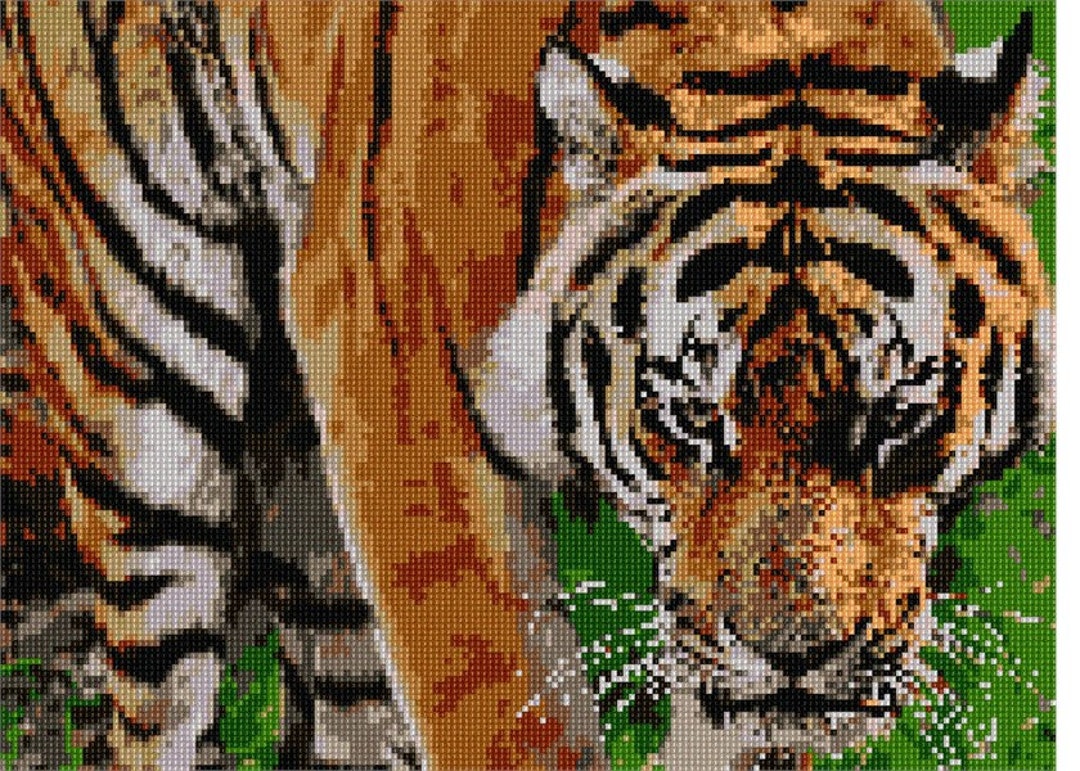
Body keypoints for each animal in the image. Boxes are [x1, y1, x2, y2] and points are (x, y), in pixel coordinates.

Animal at [1, 2, 1053, 771]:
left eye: (898, 414)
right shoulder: (404, 411)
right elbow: (509, 715)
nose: (796, 659)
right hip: (139, 397)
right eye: (691, 416)